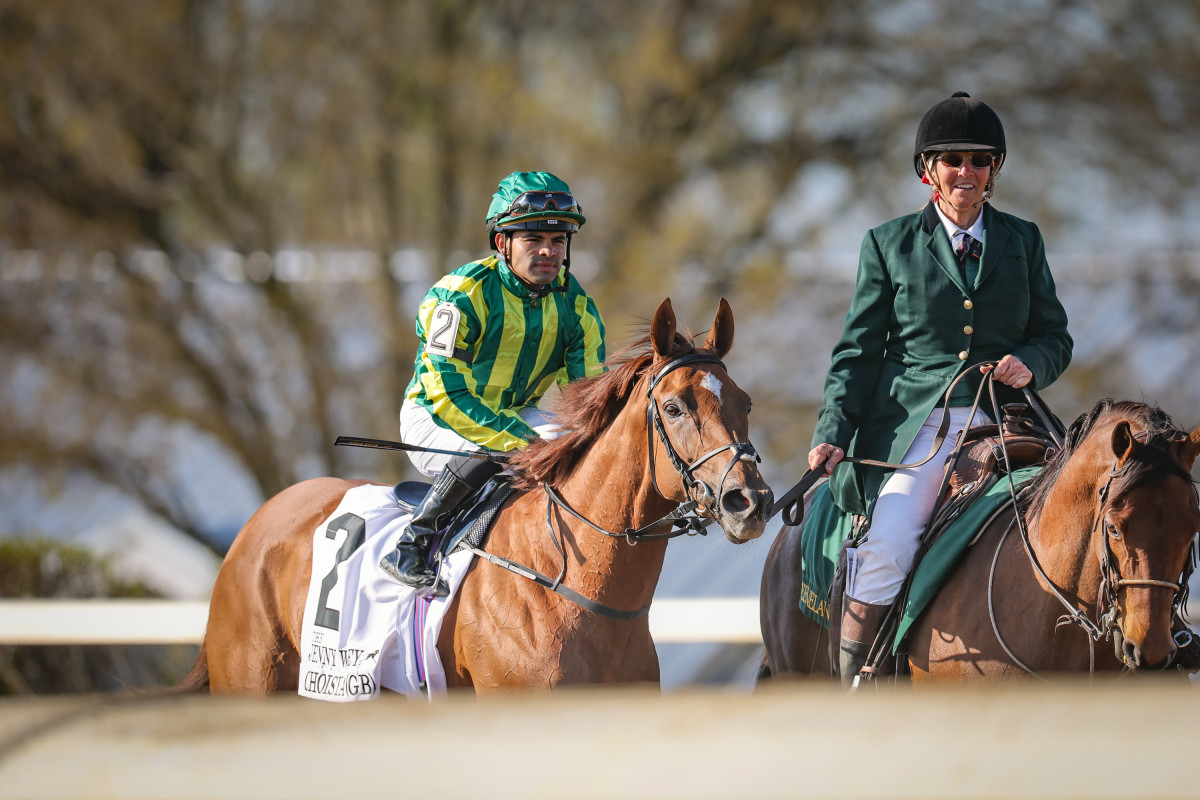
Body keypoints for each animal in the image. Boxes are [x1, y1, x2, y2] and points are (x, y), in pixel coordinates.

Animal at [181, 297, 772, 693]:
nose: (750, 501)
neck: (569, 585)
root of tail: (256, 526)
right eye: (674, 408)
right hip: (252, 682)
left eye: (745, 402)